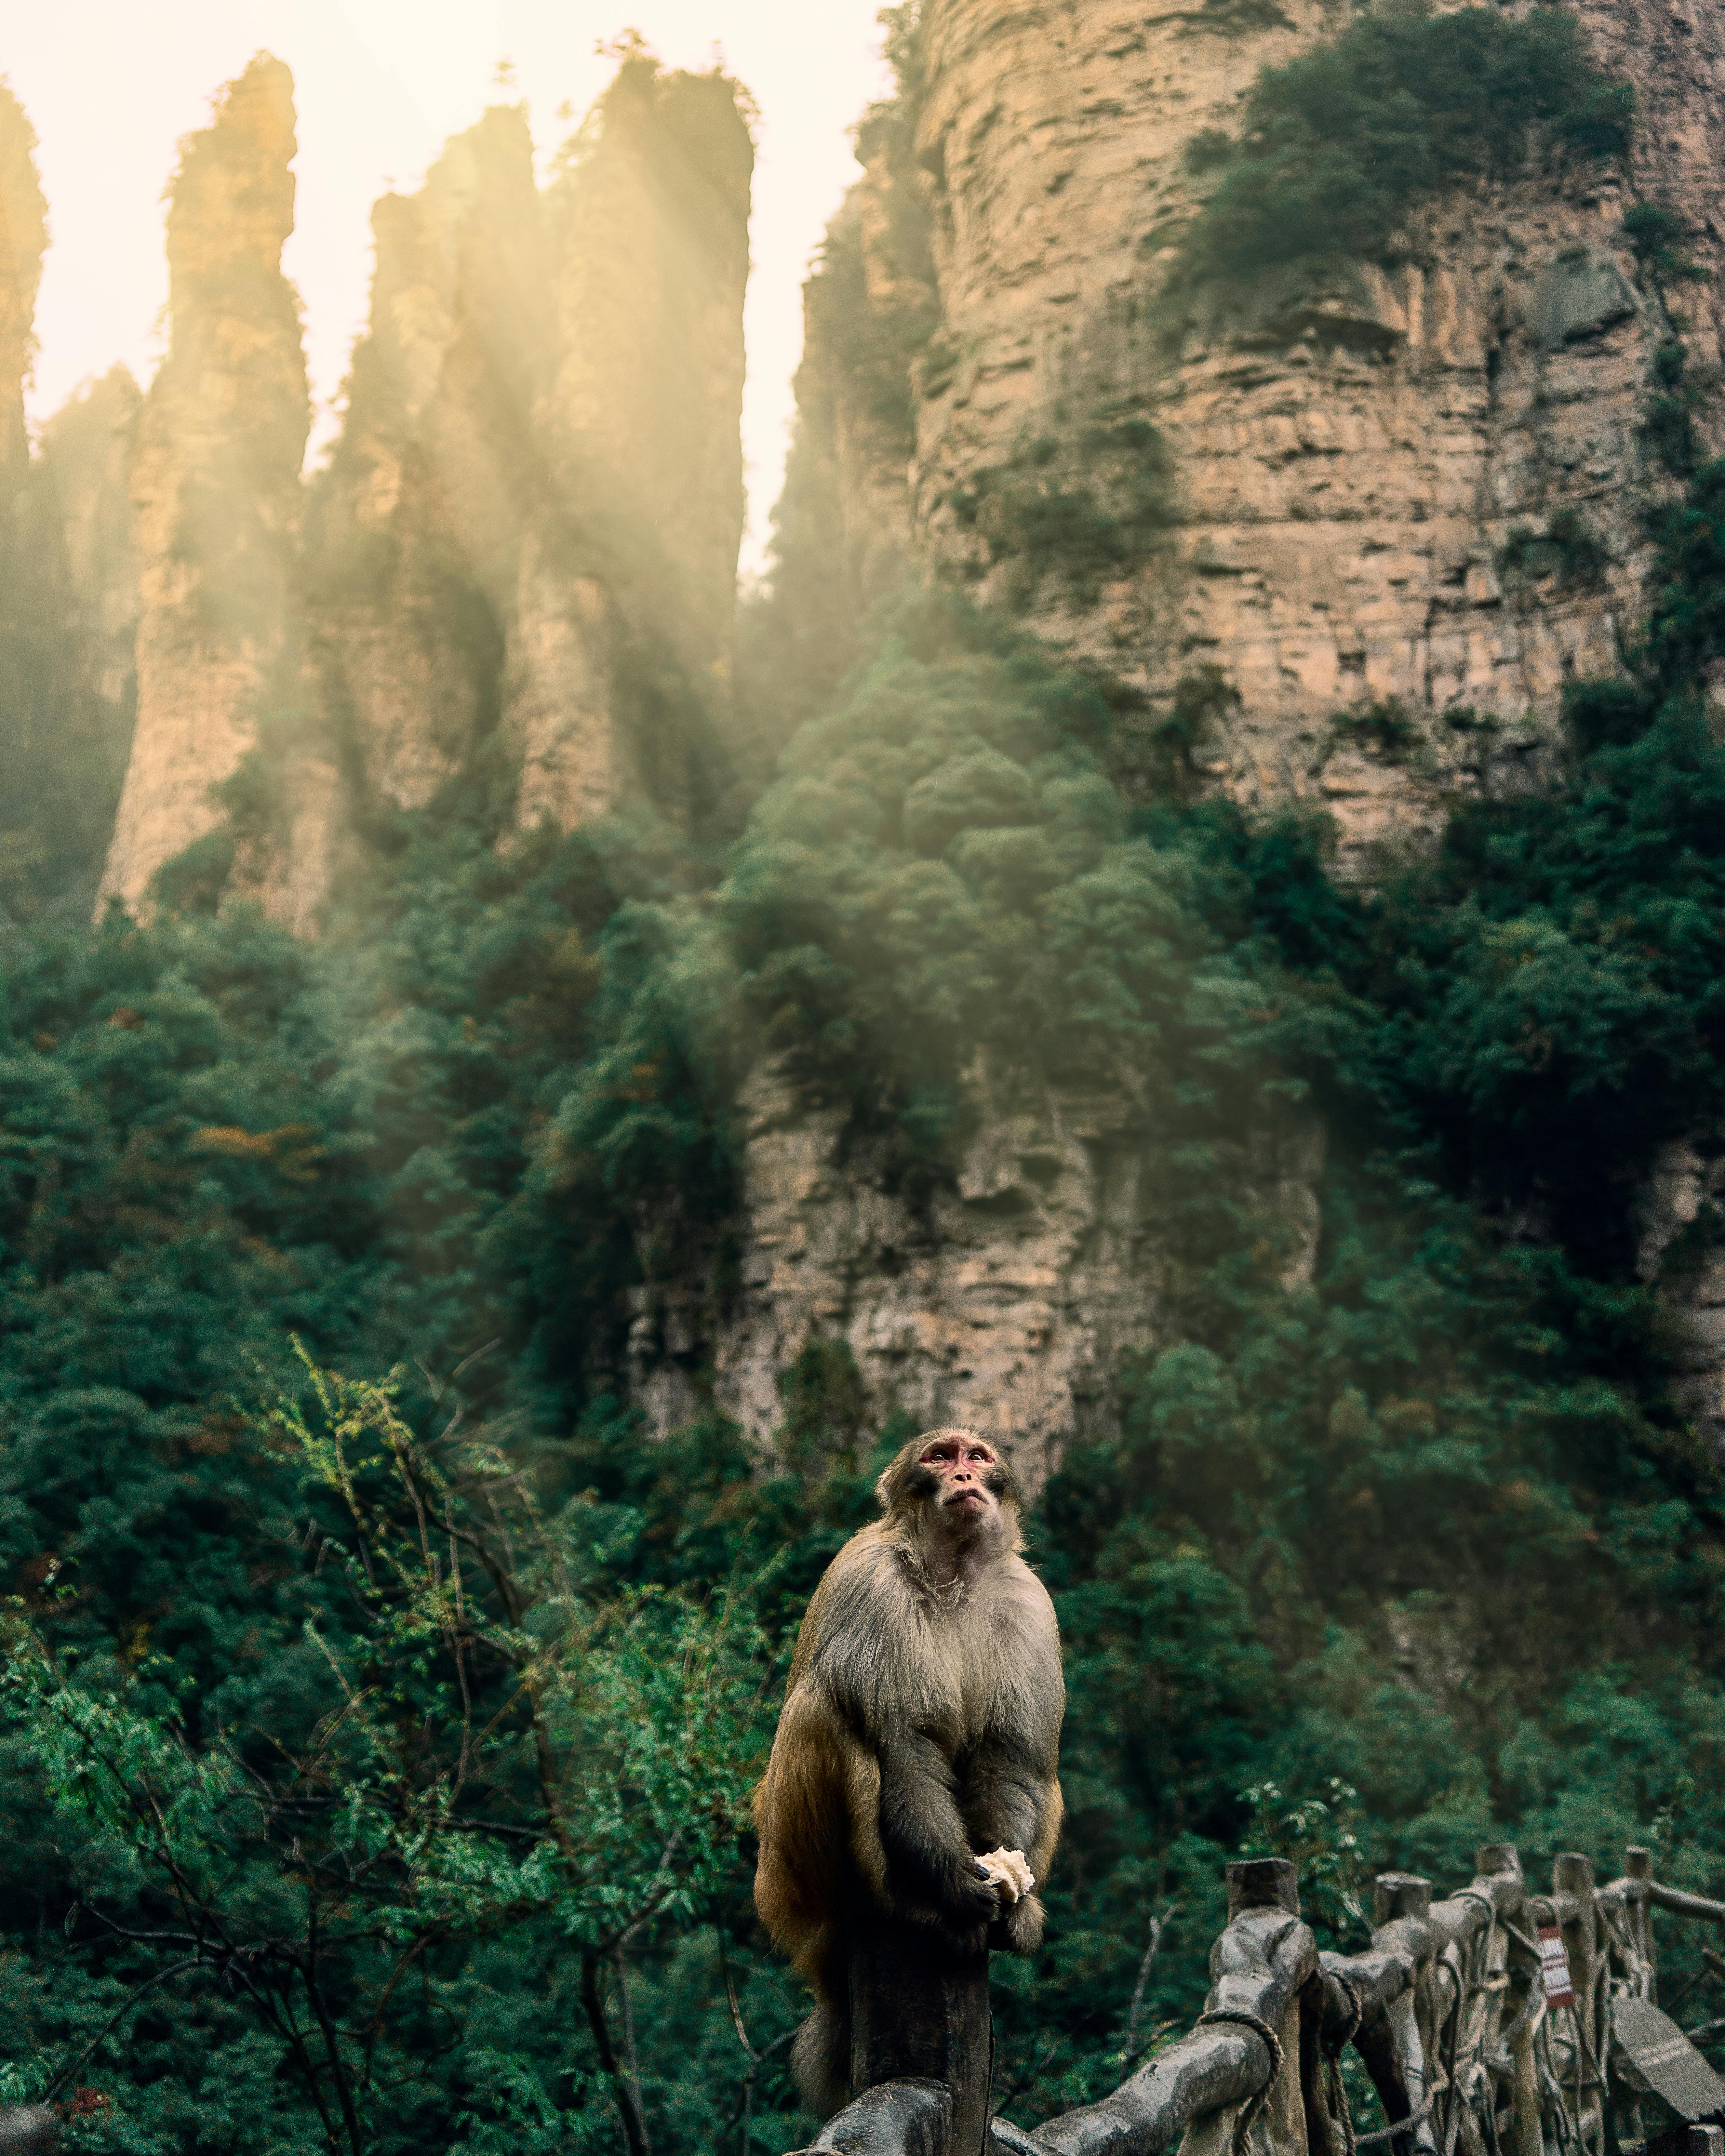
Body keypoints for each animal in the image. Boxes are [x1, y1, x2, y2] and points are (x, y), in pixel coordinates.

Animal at [752, 1424, 1064, 2117]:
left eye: (977, 1456)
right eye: (938, 1457)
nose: (963, 1478)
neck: (953, 1573)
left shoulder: (1030, 1604)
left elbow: (1010, 1757)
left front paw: (1010, 1892)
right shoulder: (873, 1589)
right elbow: (904, 1746)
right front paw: (952, 1881)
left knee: (1045, 1778)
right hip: (793, 1875)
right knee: (826, 1713)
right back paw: (906, 1909)